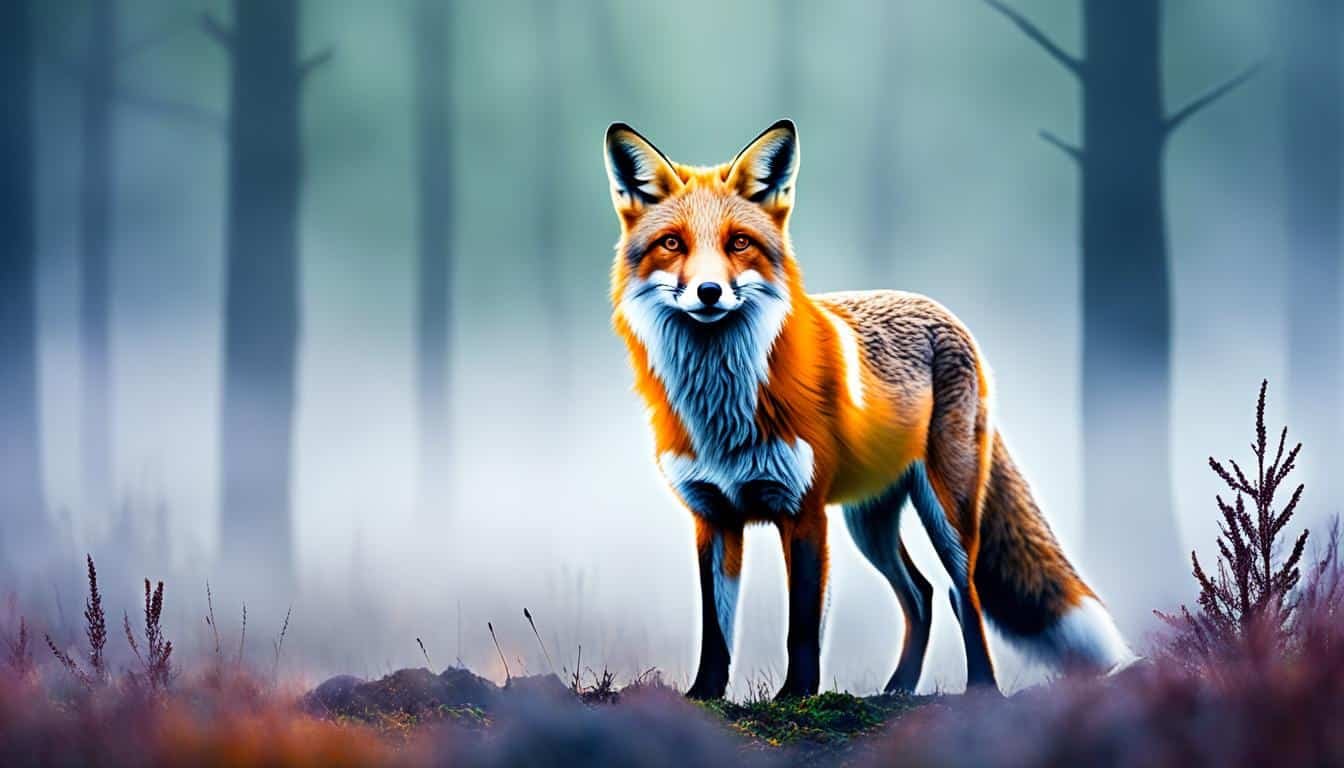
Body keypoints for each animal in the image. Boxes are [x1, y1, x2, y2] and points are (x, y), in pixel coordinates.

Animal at [603, 119, 1134, 700]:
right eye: (672, 244)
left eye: (738, 243)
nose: (708, 291)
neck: (723, 412)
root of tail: (944, 311)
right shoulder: (713, 517)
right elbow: (716, 630)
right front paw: (704, 695)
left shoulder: (805, 511)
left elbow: (802, 625)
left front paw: (797, 696)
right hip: (871, 522)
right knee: (922, 594)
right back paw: (897, 688)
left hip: (945, 510)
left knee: (961, 593)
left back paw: (981, 690)